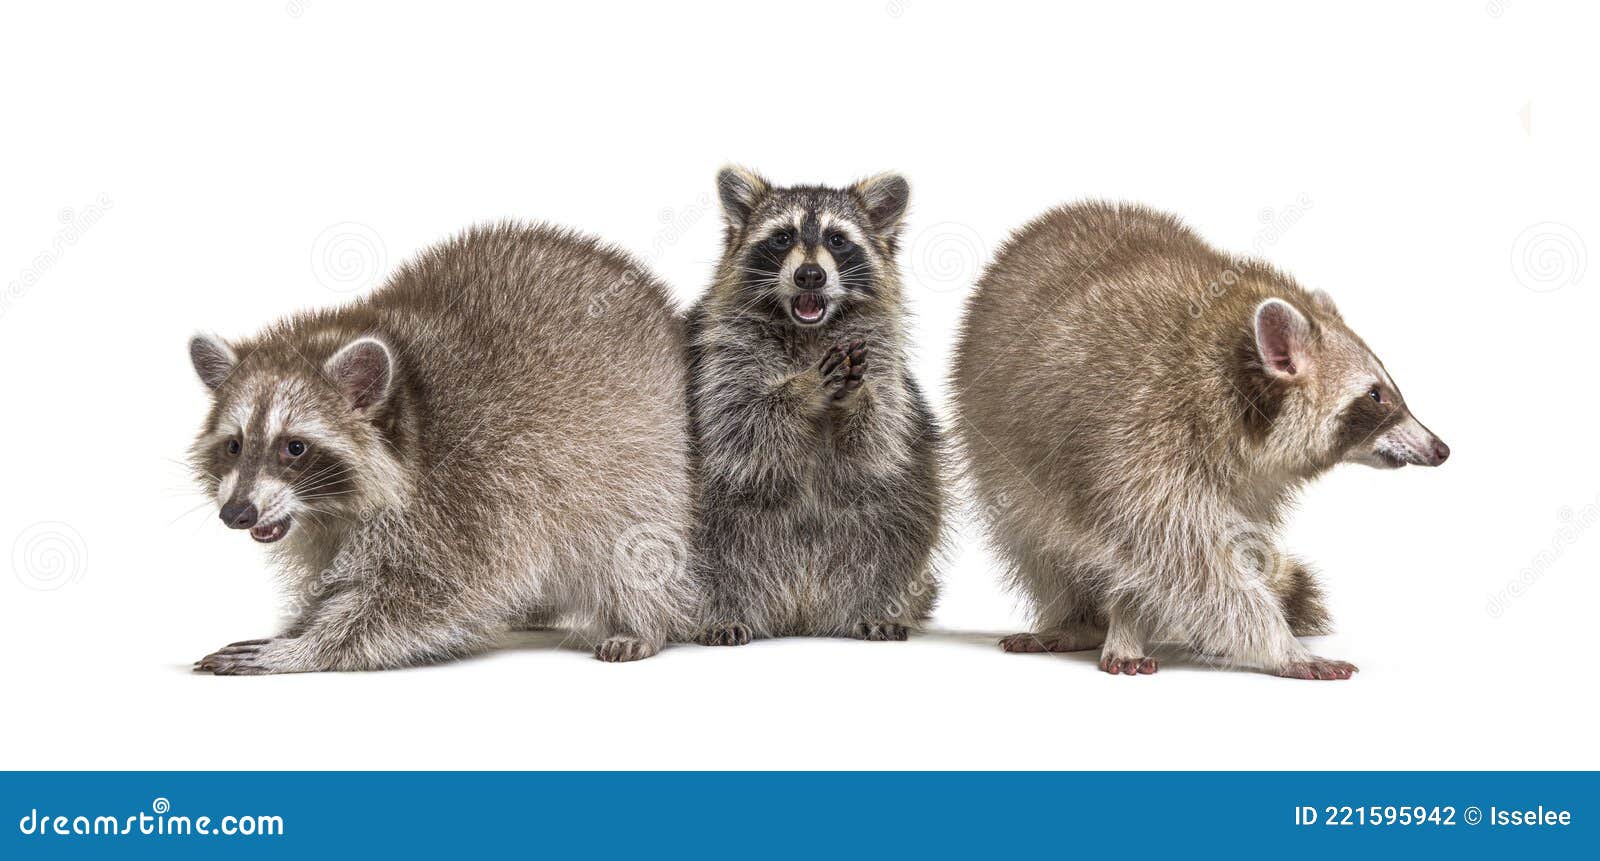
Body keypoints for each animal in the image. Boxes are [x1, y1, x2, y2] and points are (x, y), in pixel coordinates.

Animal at [188, 224, 697, 673]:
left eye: (294, 447)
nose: (236, 513)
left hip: (640, 455)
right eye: (234, 445)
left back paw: (643, 621)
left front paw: (305, 648)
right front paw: (300, 627)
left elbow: (429, 598)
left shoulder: (472, 491)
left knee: (630, 540)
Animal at [687, 167, 944, 644]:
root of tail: (801, 614)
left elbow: (878, 436)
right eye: (782, 237)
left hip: (898, 521)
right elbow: (741, 422)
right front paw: (802, 390)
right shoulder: (718, 360)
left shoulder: (886, 367)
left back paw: (878, 605)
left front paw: (860, 398)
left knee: (899, 532)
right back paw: (716, 611)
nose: (810, 275)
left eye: (838, 240)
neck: (809, 331)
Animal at [951, 202, 1448, 679]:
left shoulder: (1251, 480)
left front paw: (1131, 617)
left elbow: (1178, 557)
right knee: (1032, 541)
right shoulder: (1137, 435)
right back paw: (1081, 620)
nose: (1441, 449)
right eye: (1376, 395)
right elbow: (1185, 557)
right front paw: (1280, 645)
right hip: (994, 447)